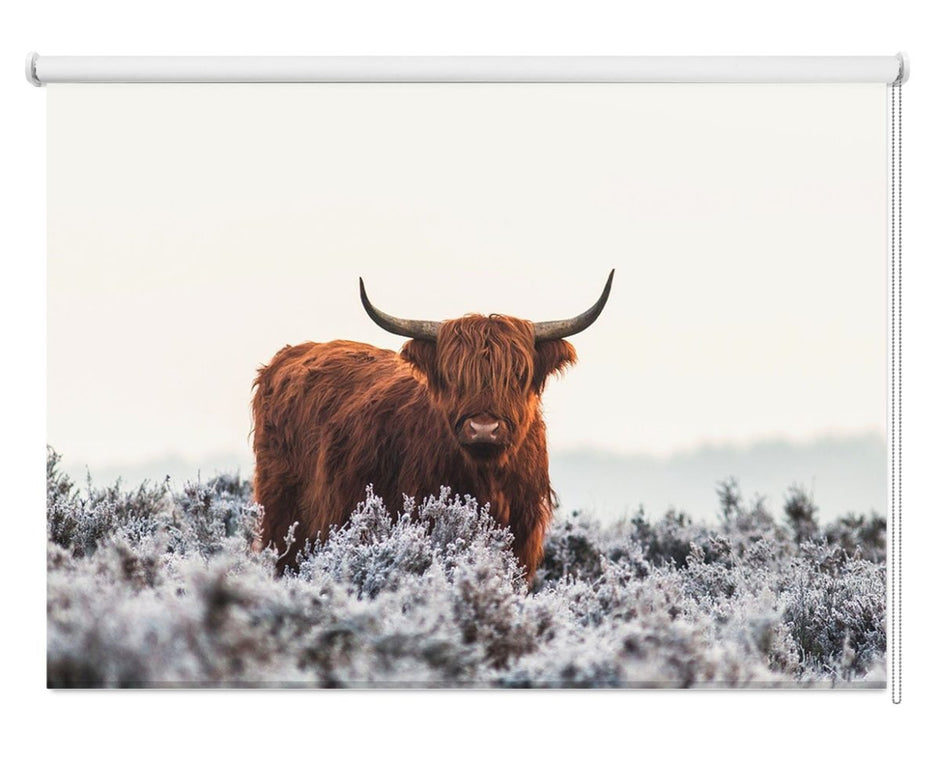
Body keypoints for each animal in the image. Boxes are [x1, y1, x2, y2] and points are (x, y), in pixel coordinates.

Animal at [251, 271, 614, 581]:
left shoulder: (522, 538)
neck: (486, 477)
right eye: (454, 375)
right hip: (281, 513)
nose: (483, 428)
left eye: (518, 374)